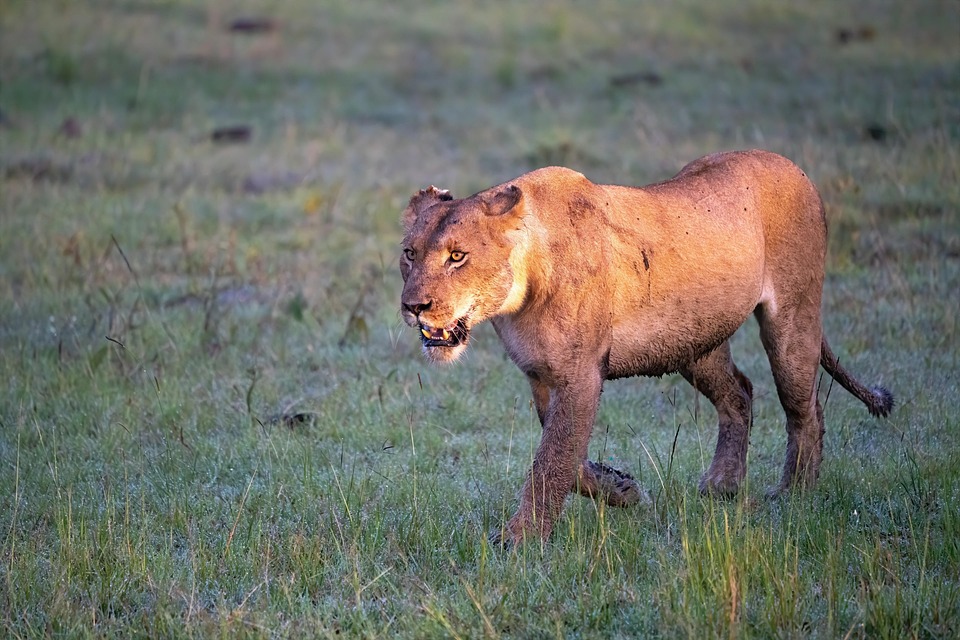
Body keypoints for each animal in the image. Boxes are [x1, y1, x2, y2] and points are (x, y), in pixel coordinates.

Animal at [399, 149, 893, 546]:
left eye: (457, 256)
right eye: (409, 254)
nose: (413, 307)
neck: (519, 293)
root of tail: (792, 166)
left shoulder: (580, 375)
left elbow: (551, 461)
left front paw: (519, 540)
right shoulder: (542, 377)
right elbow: (569, 460)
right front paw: (624, 491)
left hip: (791, 319)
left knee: (805, 408)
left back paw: (794, 494)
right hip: (694, 340)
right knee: (740, 393)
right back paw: (722, 485)